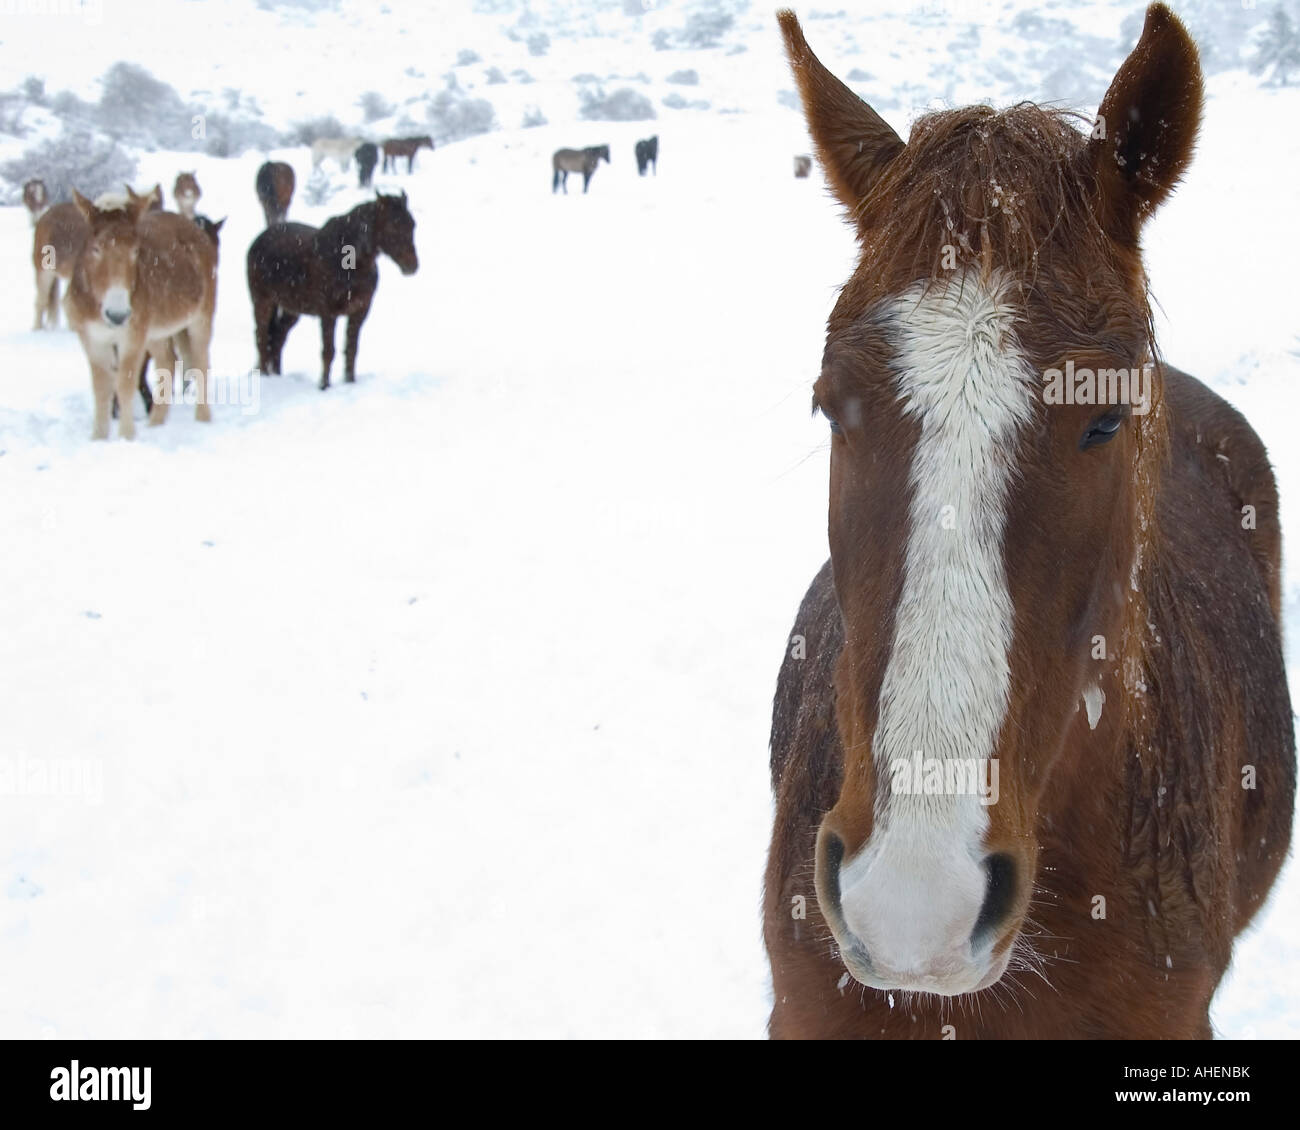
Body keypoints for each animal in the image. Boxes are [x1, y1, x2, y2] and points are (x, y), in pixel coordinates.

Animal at [65, 187, 217, 440]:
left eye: (136, 250)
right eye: (96, 248)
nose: (117, 315)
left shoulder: (132, 336)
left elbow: (125, 384)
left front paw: (126, 437)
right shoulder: (91, 338)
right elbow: (102, 388)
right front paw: (99, 438)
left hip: (201, 317)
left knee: (201, 362)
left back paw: (203, 419)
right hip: (155, 331)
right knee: (168, 362)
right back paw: (155, 423)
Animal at [246, 190, 418, 390]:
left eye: (412, 224)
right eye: (392, 225)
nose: (412, 266)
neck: (349, 261)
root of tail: (259, 240)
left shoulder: (360, 311)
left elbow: (351, 349)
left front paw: (350, 382)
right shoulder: (328, 313)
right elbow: (329, 350)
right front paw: (324, 386)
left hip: (292, 309)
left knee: (278, 337)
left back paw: (277, 376)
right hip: (262, 301)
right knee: (262, 336)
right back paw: (265, 377)